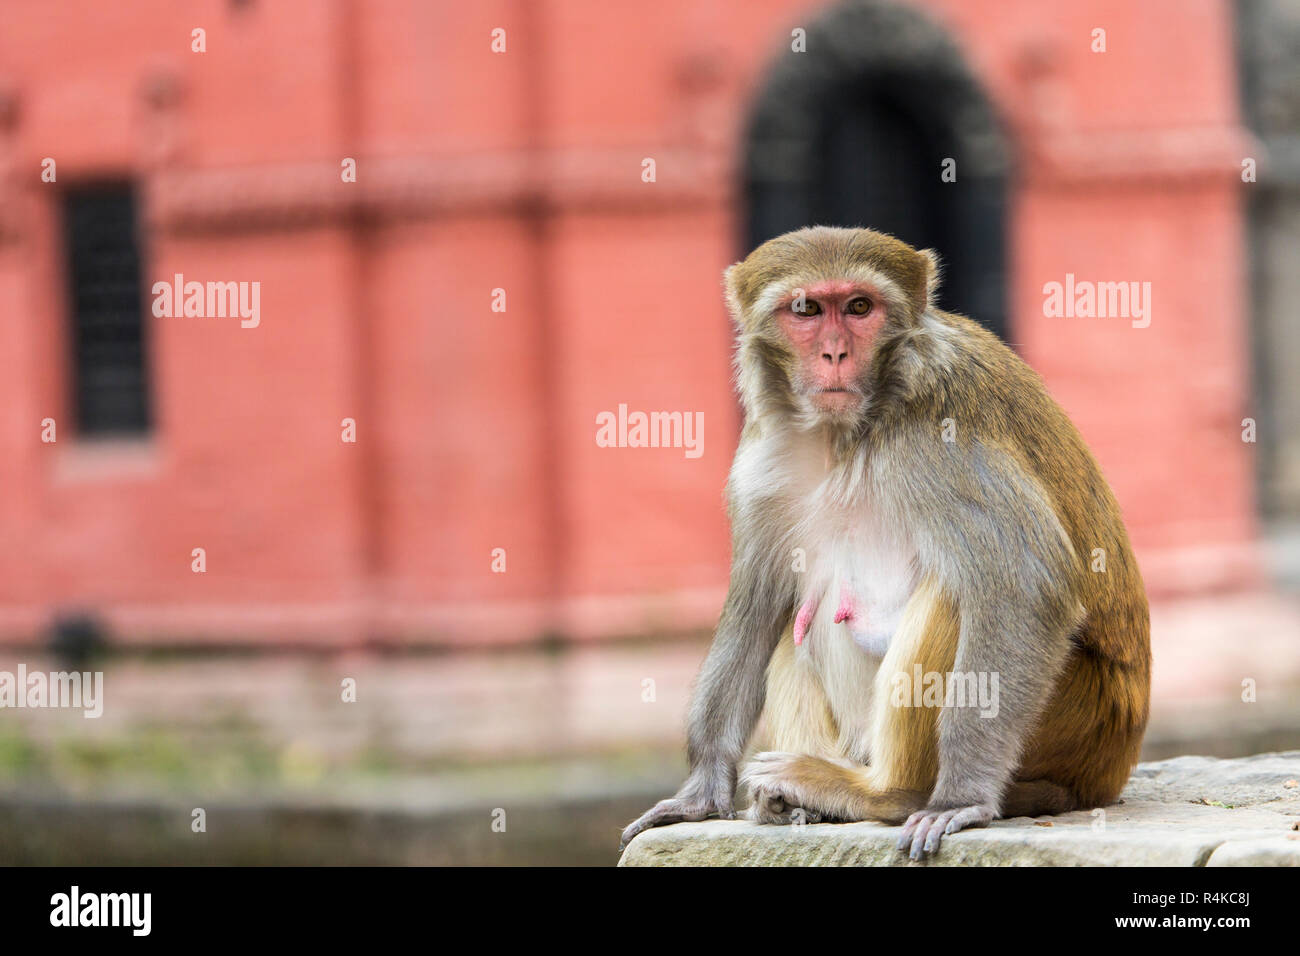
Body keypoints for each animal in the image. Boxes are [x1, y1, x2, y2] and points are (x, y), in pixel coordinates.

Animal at [620, 226, 1150, 859]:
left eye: (859, 307)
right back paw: (805, 801)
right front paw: (701, 790)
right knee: (794, 622)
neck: (847, 433)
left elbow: (1025, 588)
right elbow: (757, 608)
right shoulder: (763, 462)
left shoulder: (938, 441)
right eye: (806, 310)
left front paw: (960, 798)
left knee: (957, 595)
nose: (835, 354)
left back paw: (883, 794)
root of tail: (1110, 772)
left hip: (1078, 720)